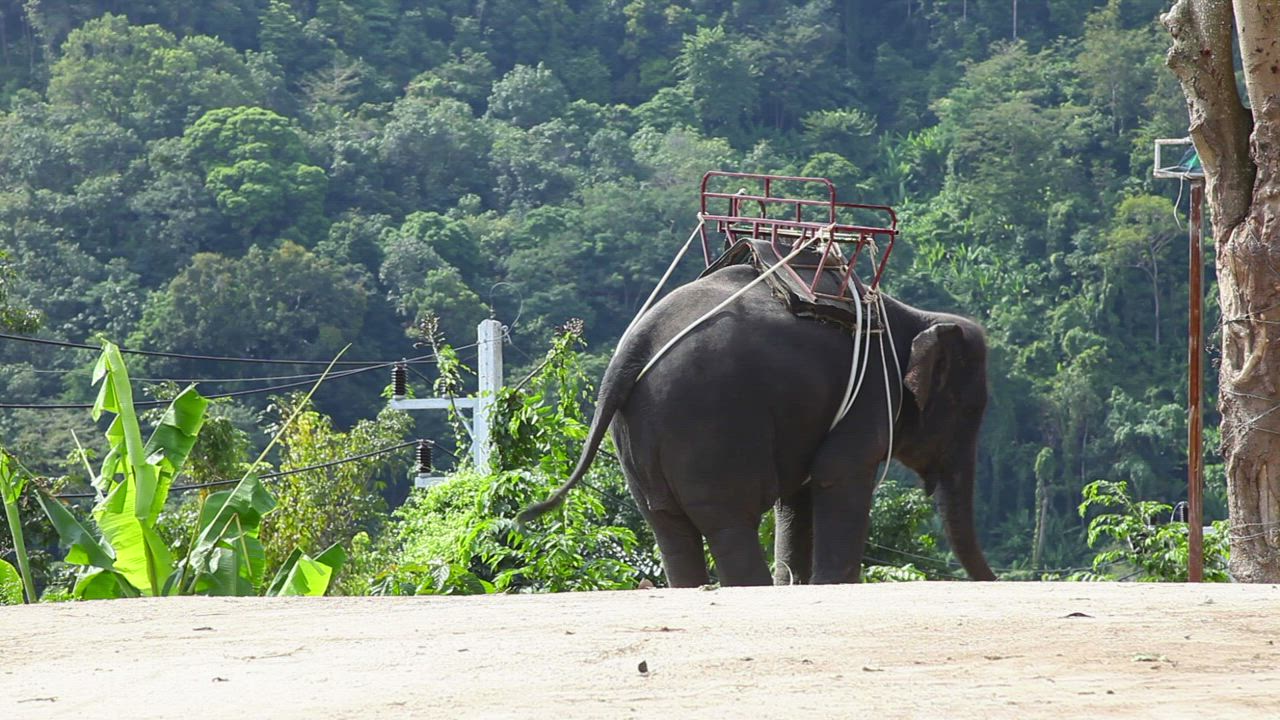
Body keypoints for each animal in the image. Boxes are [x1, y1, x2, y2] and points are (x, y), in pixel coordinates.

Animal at [519, 263, 997, 586]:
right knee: (729, 523)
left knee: (668, 526)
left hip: (641, 438)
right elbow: (839, 473)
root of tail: (632, 349)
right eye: (970, 410)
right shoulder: (870, 392)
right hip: (711, 427)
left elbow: (800, 495)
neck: (911, 316)